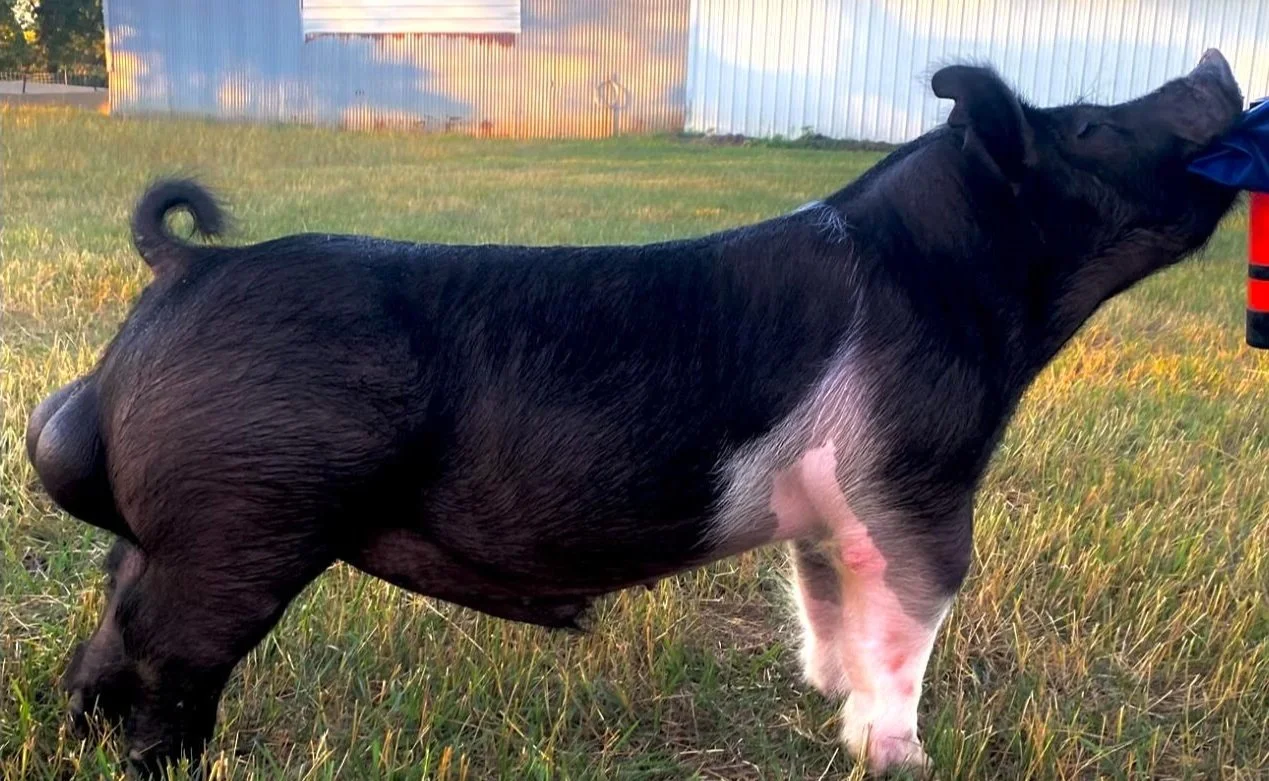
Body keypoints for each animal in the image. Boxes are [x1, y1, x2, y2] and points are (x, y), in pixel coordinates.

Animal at [26, 50, 1244, 776]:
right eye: (1086, 125)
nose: (1215, 60)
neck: (945, 275)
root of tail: (186, 266)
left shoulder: (827, 505)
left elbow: (830, 609)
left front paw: (829, 704)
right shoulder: (921, 477)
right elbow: (914, 619)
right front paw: (903, 758)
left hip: (165, 537)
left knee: (107, 637)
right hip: (240, 523)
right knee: (168, 669)